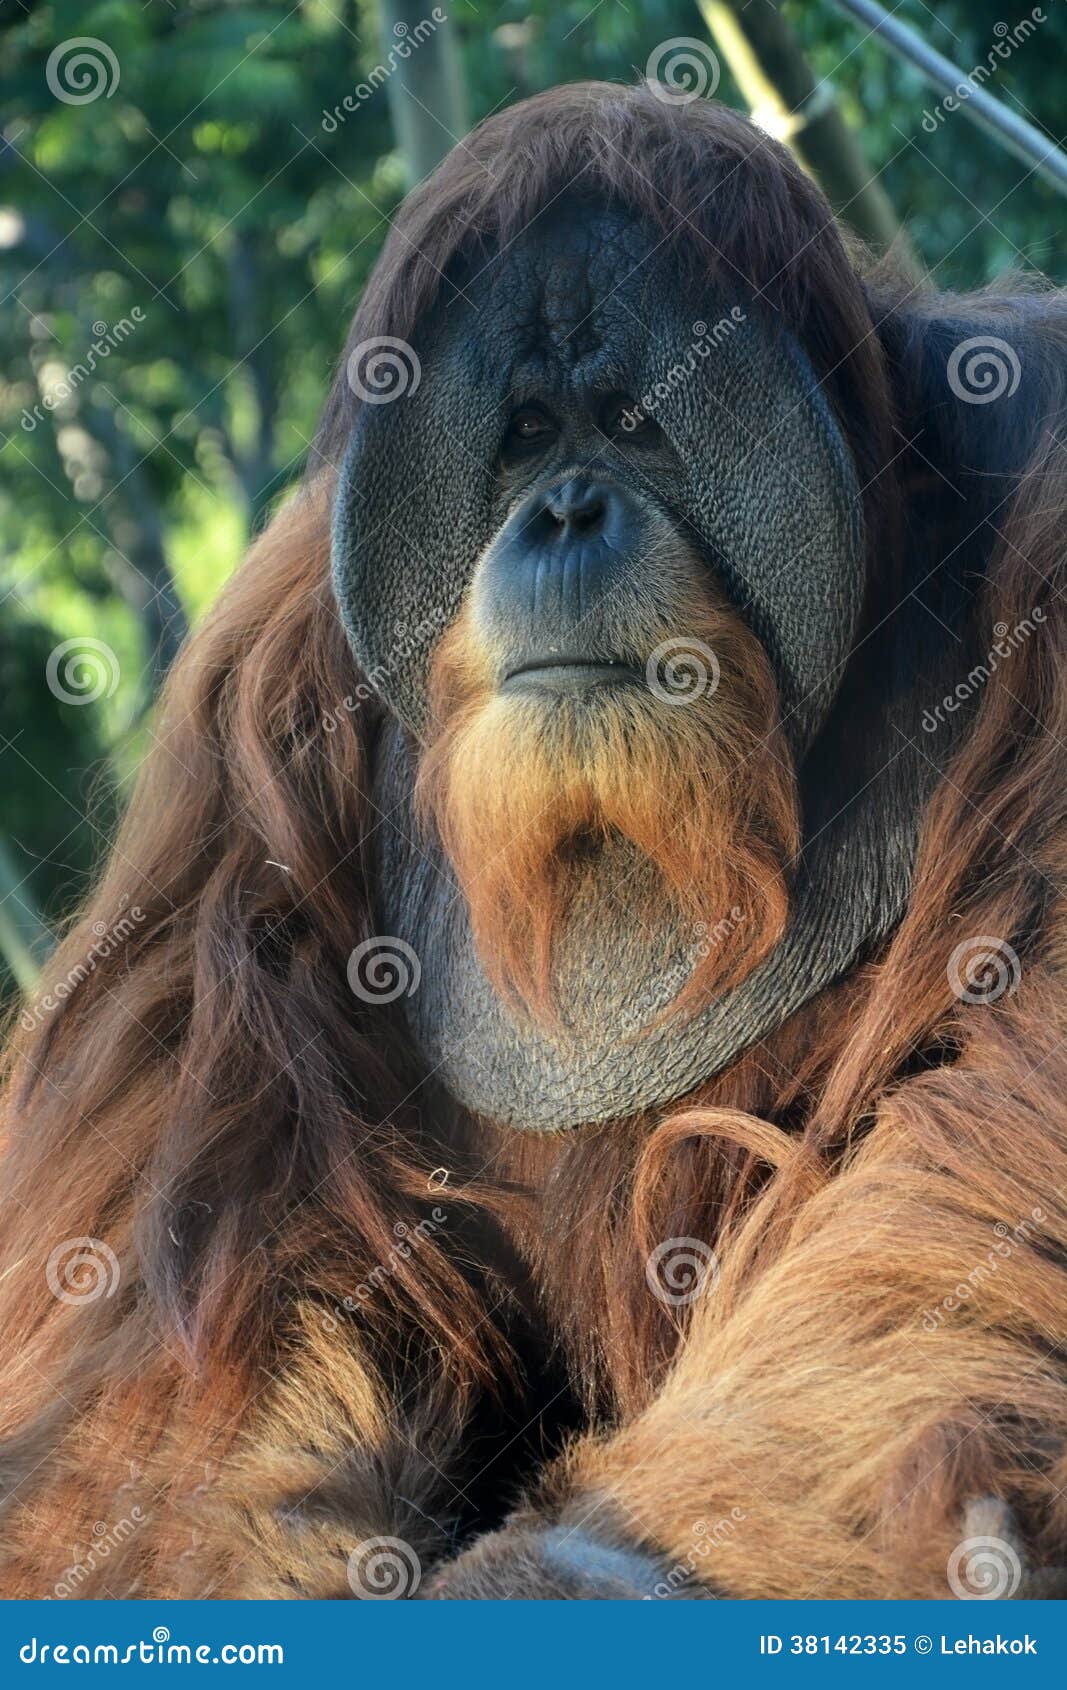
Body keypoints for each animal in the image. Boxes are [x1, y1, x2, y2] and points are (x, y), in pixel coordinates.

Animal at [1, 82, 1067, 1600]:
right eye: (519, 431)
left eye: (627, 420)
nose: (562, 509)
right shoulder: (260, 671)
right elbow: (192, 1236)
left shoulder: (1045, 458)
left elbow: (1002, 1099)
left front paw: (575, 1574)